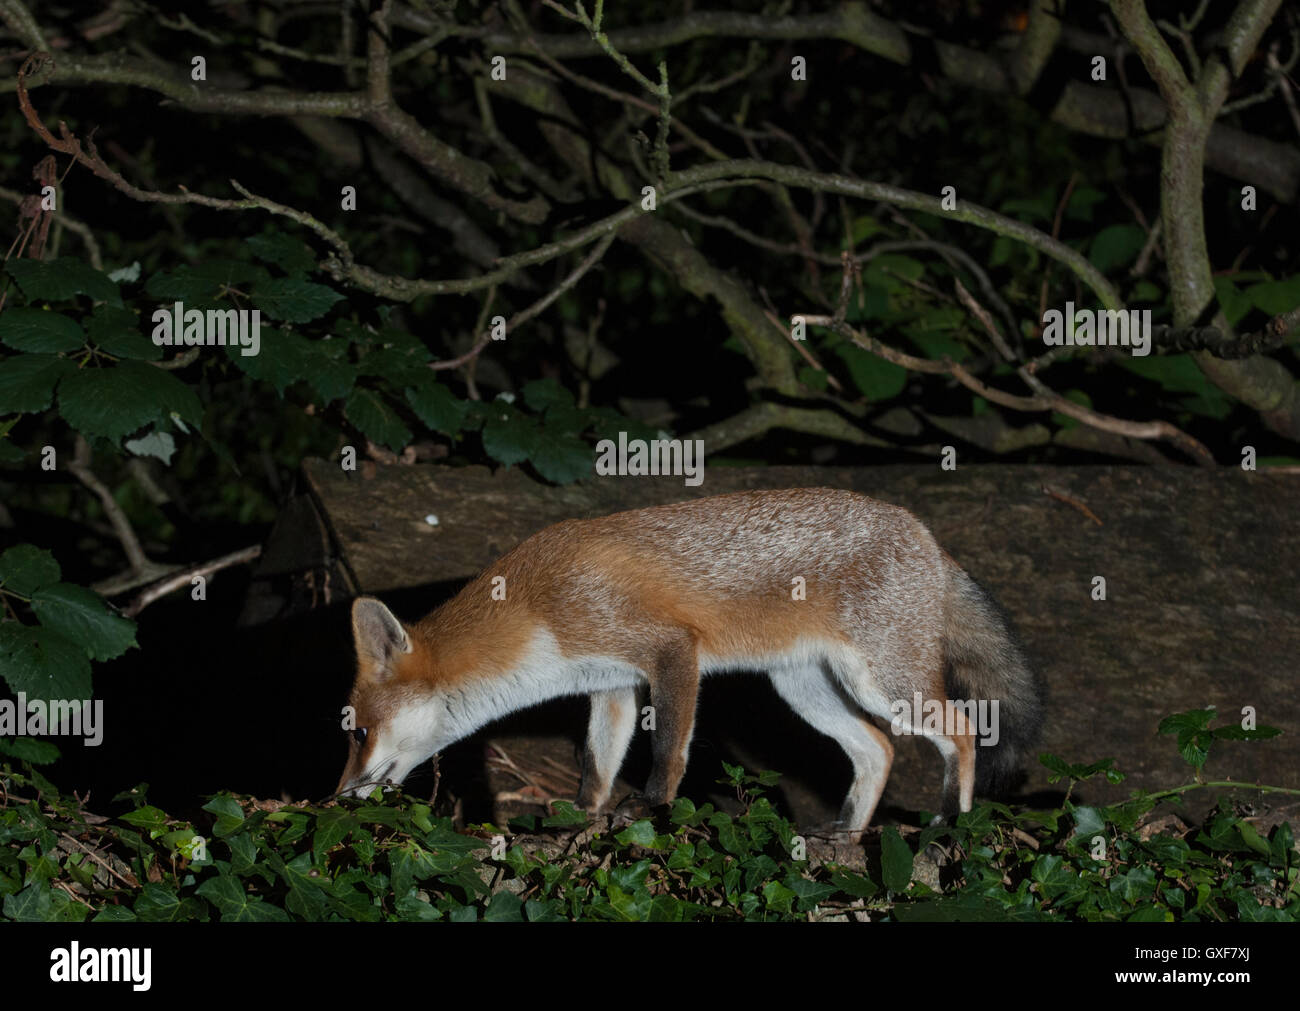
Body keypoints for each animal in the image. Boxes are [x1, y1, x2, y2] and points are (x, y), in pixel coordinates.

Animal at [335, 487, 1044, 835]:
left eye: (359, 733)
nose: (336, 799)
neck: (535, 605)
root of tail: (928, 538)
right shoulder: (612, 684)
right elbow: (597, 764)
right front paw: (583, 821)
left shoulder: (671, 649)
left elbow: (667, 752)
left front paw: (650, 808)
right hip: (805, 689)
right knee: (879, 750)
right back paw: (843, 834)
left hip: (884, 681)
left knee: (962, 730)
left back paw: (950, 824)